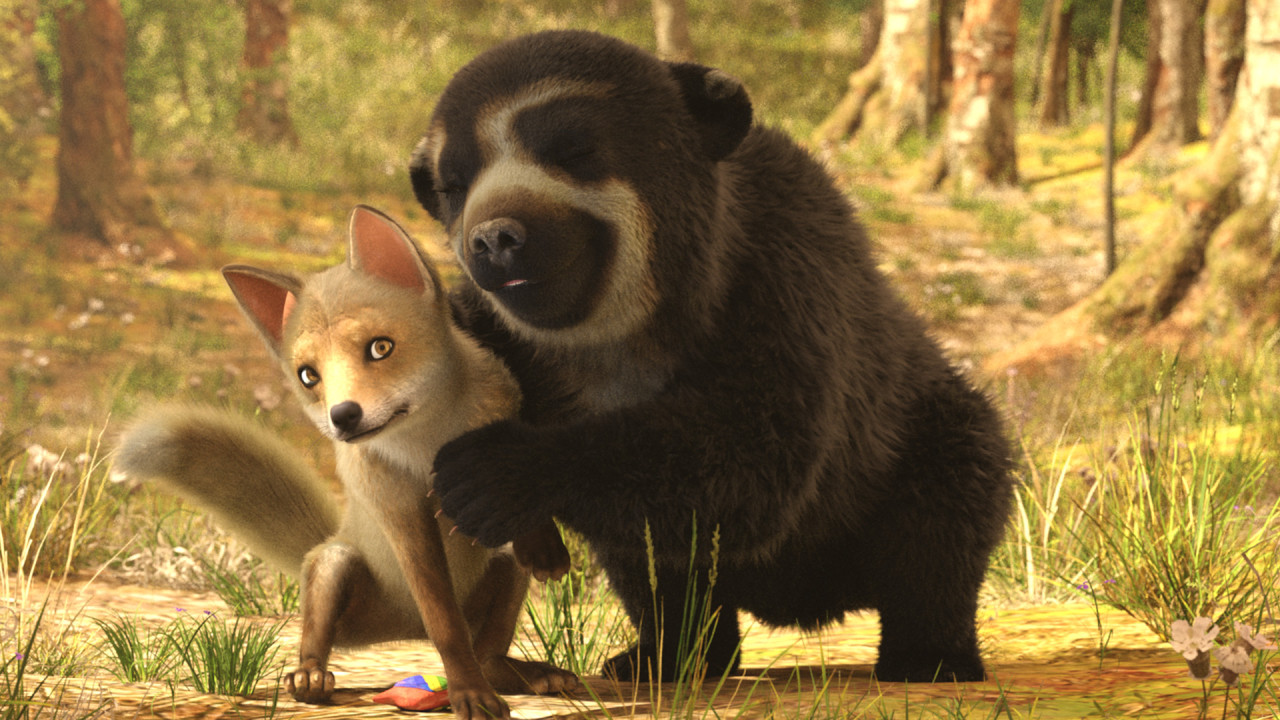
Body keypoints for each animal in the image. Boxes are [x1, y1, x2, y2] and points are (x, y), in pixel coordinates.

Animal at [408, 29, 1014, 683]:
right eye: (453, 185)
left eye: (575, 149)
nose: (496, 237)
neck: (622, 338)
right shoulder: (500, 333)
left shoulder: (782, 275)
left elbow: (755, 452)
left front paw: (489, 473)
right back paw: (669, 657)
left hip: (908, 441)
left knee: (945, 514)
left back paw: (930, 656)